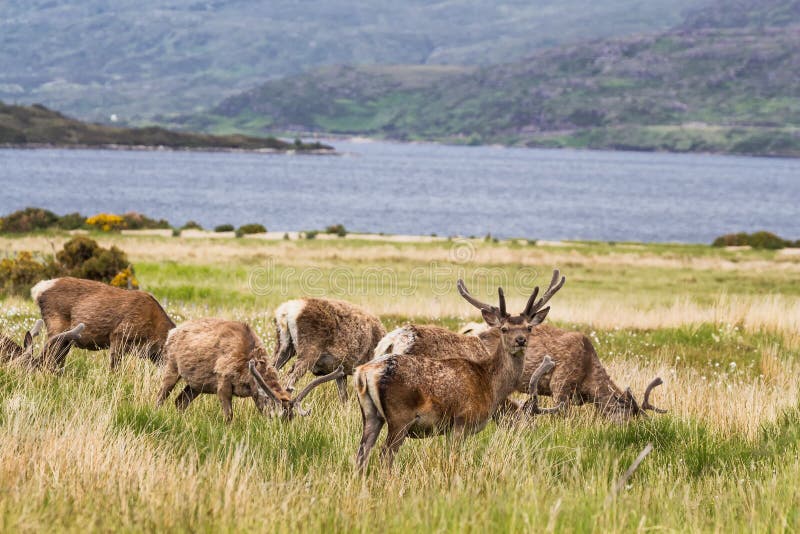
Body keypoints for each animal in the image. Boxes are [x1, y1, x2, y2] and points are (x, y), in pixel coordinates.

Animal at [157, 318, 343, 422]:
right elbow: (229, 416)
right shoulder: (222, 381)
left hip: (197, 385)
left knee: (180, 401)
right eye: (275, 417)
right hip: (172, 366)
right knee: (161, 396)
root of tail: (172, 332)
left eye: (291, 418)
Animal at [351, 277, 562, 472]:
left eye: (529, 327)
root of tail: (363, 372)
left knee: (362, 452)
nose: (520, 340)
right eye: (504, 328)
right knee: (385, 454)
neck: (492, 387)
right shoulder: (462, 421)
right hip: (400, 417)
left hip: (371, 414)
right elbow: (453, 458)